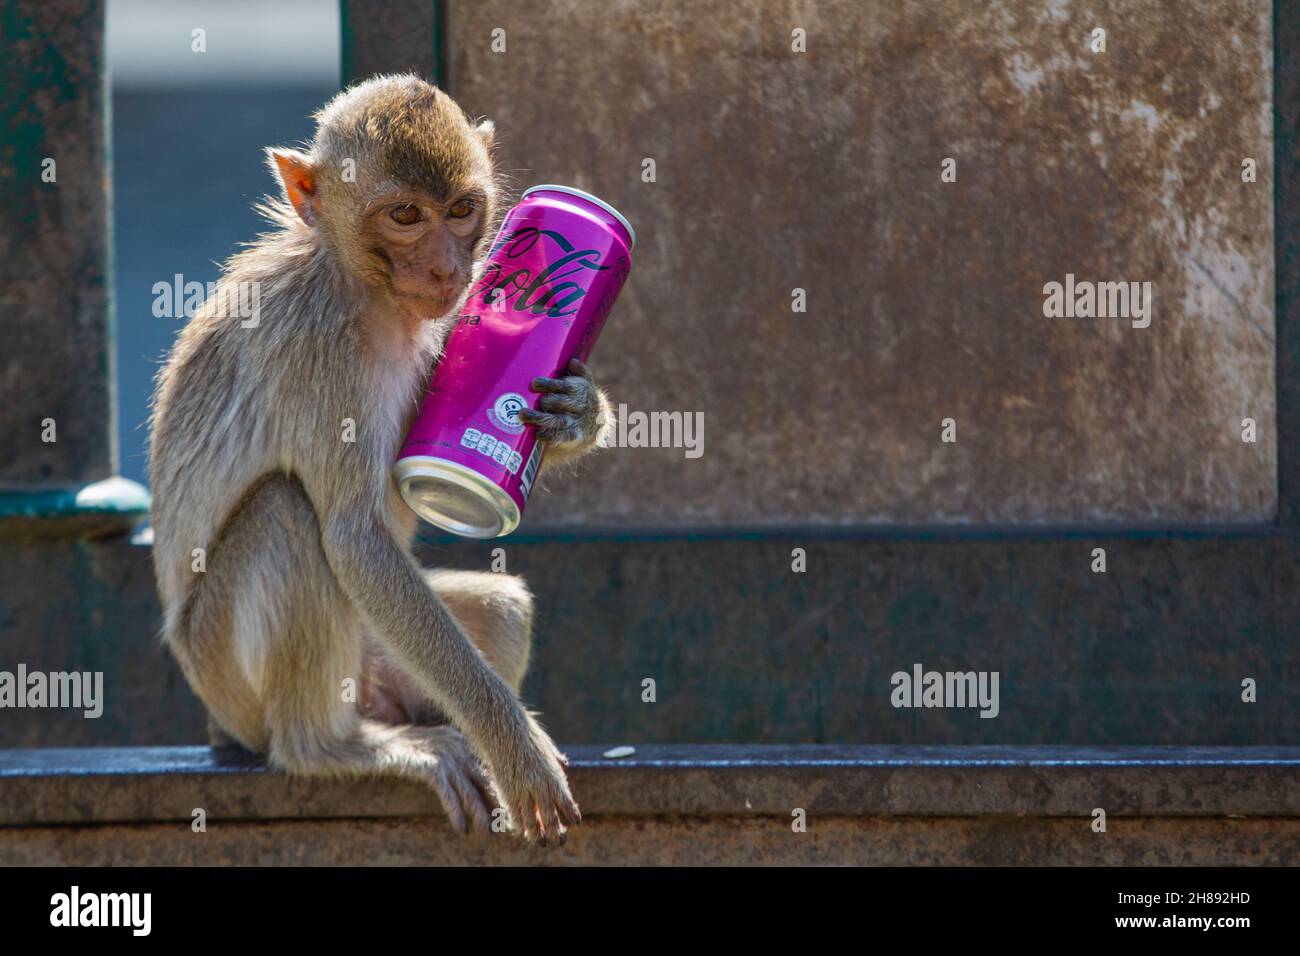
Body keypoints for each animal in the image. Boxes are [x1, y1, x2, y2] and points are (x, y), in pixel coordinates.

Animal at [148, 74, 614, 844]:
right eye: (403, 214)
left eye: (460, 210)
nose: (447, 266)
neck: (363, 286)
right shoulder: (316, 352)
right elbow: (355, 540)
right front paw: (513, 744)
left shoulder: (451, 322)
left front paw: (578, 412)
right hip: (229, 678)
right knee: (286, 517)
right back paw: (334, 749)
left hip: (380, 656)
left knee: (502, 609)